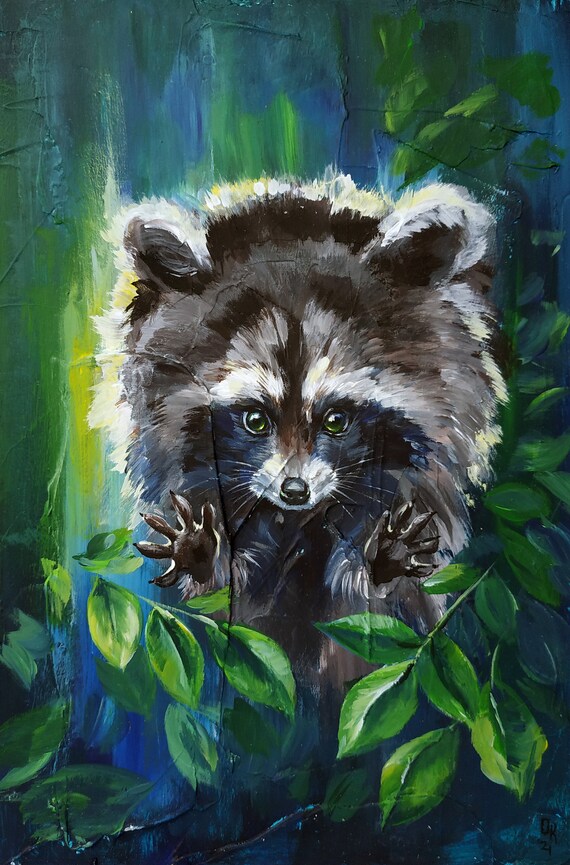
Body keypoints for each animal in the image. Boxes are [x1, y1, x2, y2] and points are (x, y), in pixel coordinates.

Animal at [93, 174, 505, 682]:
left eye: (336, 419)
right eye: (254, 419)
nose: (294, 490)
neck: (296, 524)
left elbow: (385, 606)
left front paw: (382, 563)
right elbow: (220, 596)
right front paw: (203, 554)